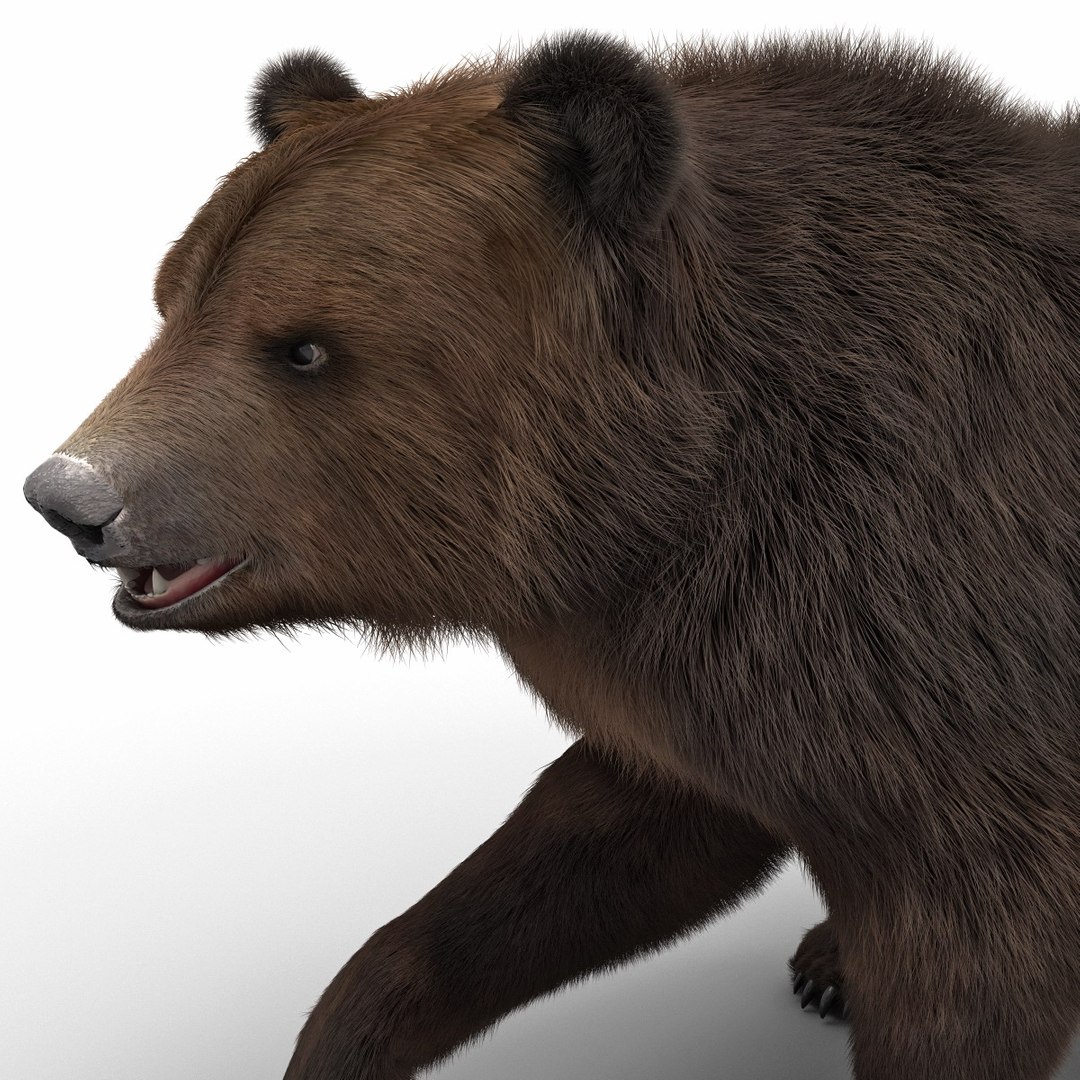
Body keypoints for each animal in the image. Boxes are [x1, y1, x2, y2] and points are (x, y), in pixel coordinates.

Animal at [22, 30, 1079, 1080]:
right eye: (170, 302)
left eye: (303, 347)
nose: (69, 498)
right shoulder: (703, 682)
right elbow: (591, 847)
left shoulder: (929, 629)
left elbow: (974, 947)